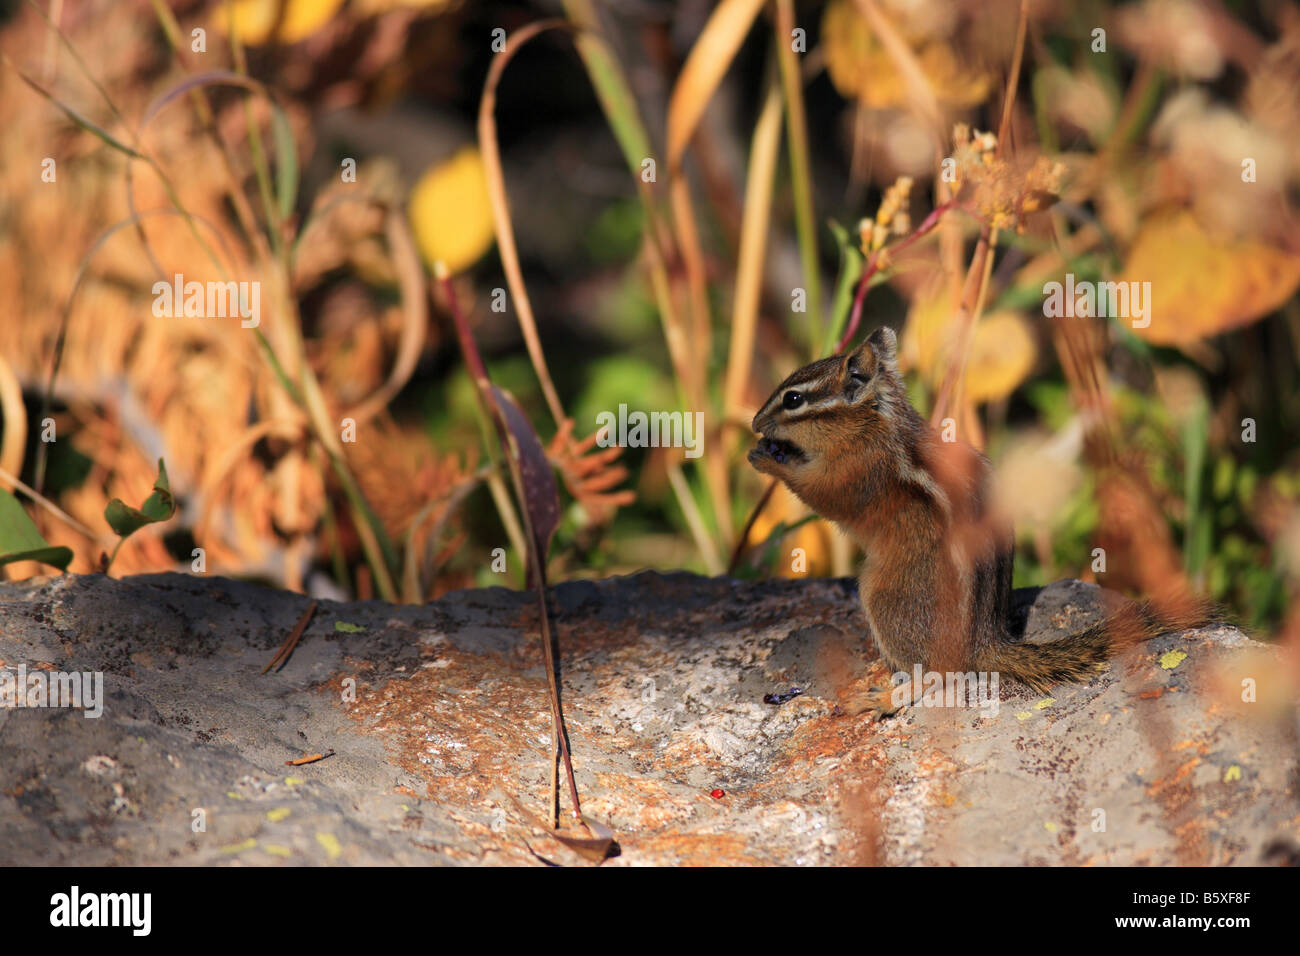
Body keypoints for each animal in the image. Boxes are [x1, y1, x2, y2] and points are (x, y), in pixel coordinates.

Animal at [748, 325, 1216, 716]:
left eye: (793, 399)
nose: (754, 422)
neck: (875, 420)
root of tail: (984, 642)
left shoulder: (856, 472)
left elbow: (821, 493)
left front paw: (767, 458)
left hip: (885, 597)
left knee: (936, 675)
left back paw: (881, 699)